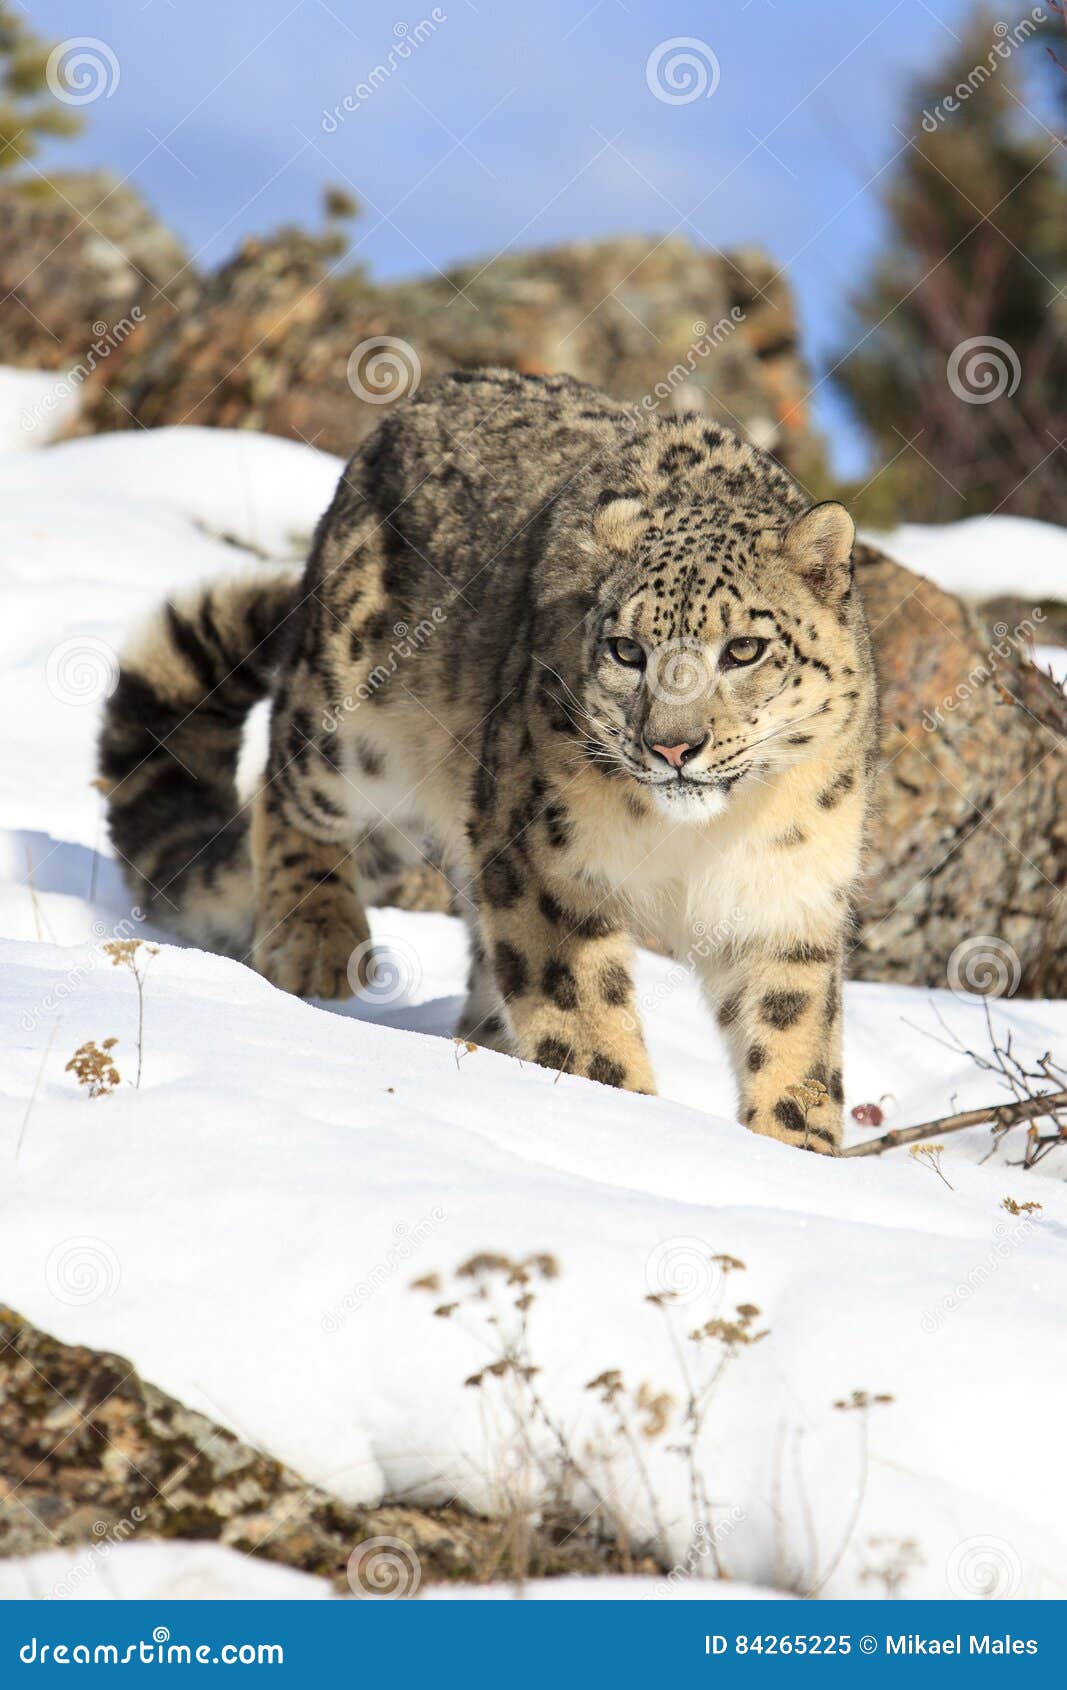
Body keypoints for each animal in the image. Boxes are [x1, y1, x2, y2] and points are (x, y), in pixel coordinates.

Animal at [99, 369, 878, 1153]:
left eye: (743, 649)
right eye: (627, 650)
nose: (671, 745)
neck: (697, 842)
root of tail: (419, 399)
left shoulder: (787, 894)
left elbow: (794, 1033)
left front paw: (794, 1149)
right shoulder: (545, 862)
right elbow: (581, 1009)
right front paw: (621, 1113)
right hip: (351, 715)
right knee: (288, 793)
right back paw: (316, 940)